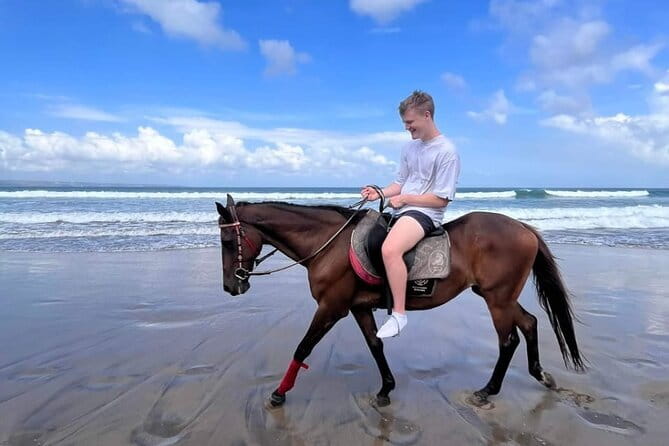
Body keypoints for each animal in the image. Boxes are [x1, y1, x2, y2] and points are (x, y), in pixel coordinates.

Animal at [215, 195, 585, 408]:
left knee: (508, 340)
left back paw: (488, 390)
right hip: (498, 296)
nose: (231, 287)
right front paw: (385, 389)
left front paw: (279, 393)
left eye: (226, 240)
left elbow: (303, 347)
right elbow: (375, 346)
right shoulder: (358, 307)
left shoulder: (331, 308)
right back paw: (540, 375)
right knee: (529, 323)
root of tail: (523, 227)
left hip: (497, 299)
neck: (328, 245)